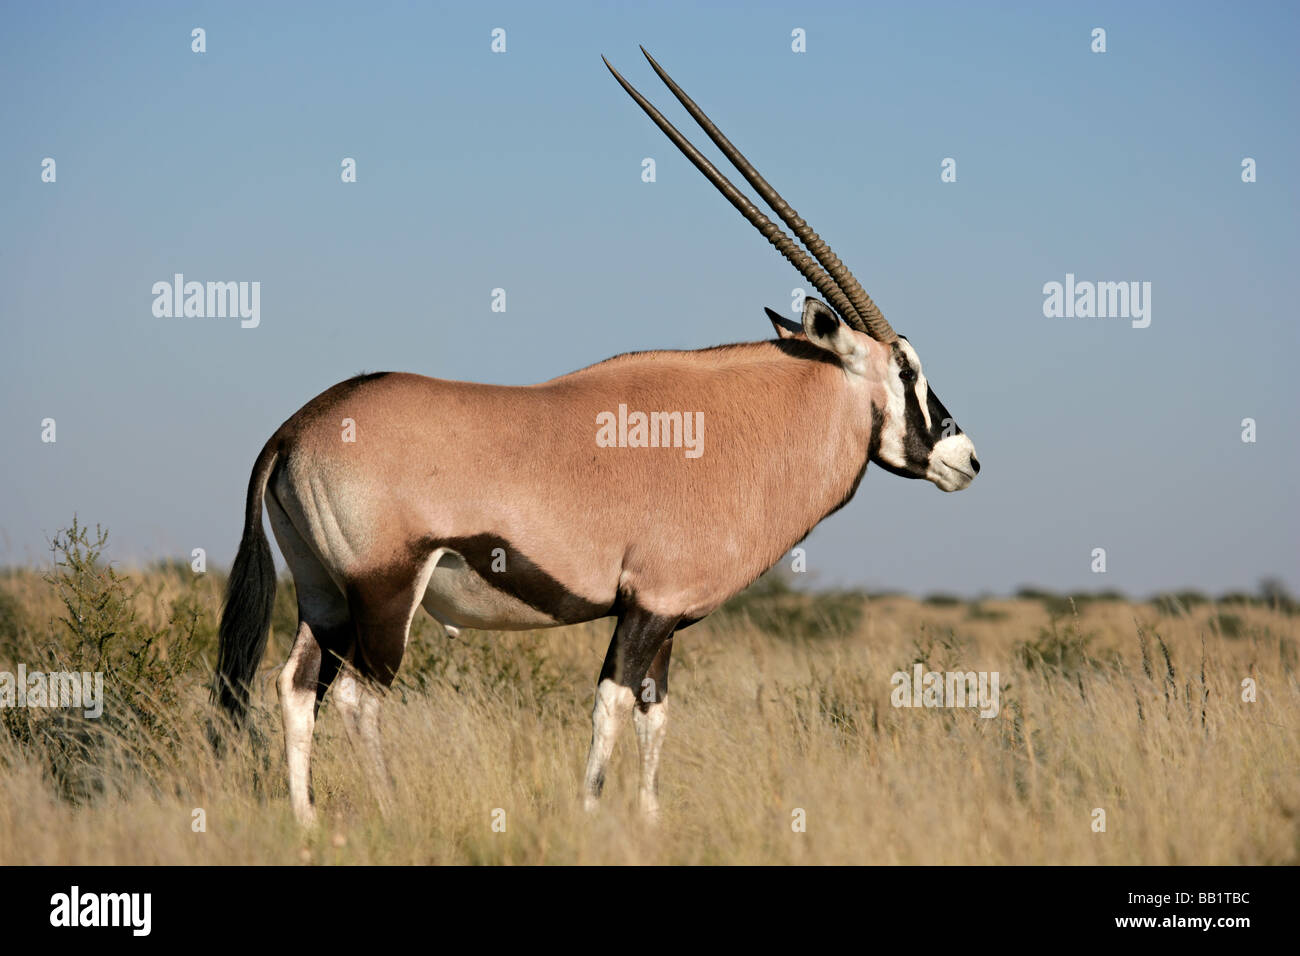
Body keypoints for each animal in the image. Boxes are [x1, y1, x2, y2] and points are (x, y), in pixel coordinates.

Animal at [212, 48, 980, 826]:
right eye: (908, 369)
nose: (966, 458)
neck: (736, 431)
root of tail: (296, 428)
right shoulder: (646, 609)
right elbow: (610, 708)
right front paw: (591, 814)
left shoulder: (667, 620)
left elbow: (655, 716)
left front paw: (648, 821)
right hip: (385, 590)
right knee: (356, 697)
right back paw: (392, 811)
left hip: (324, 594)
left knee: (296, 686)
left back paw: (308, 822)